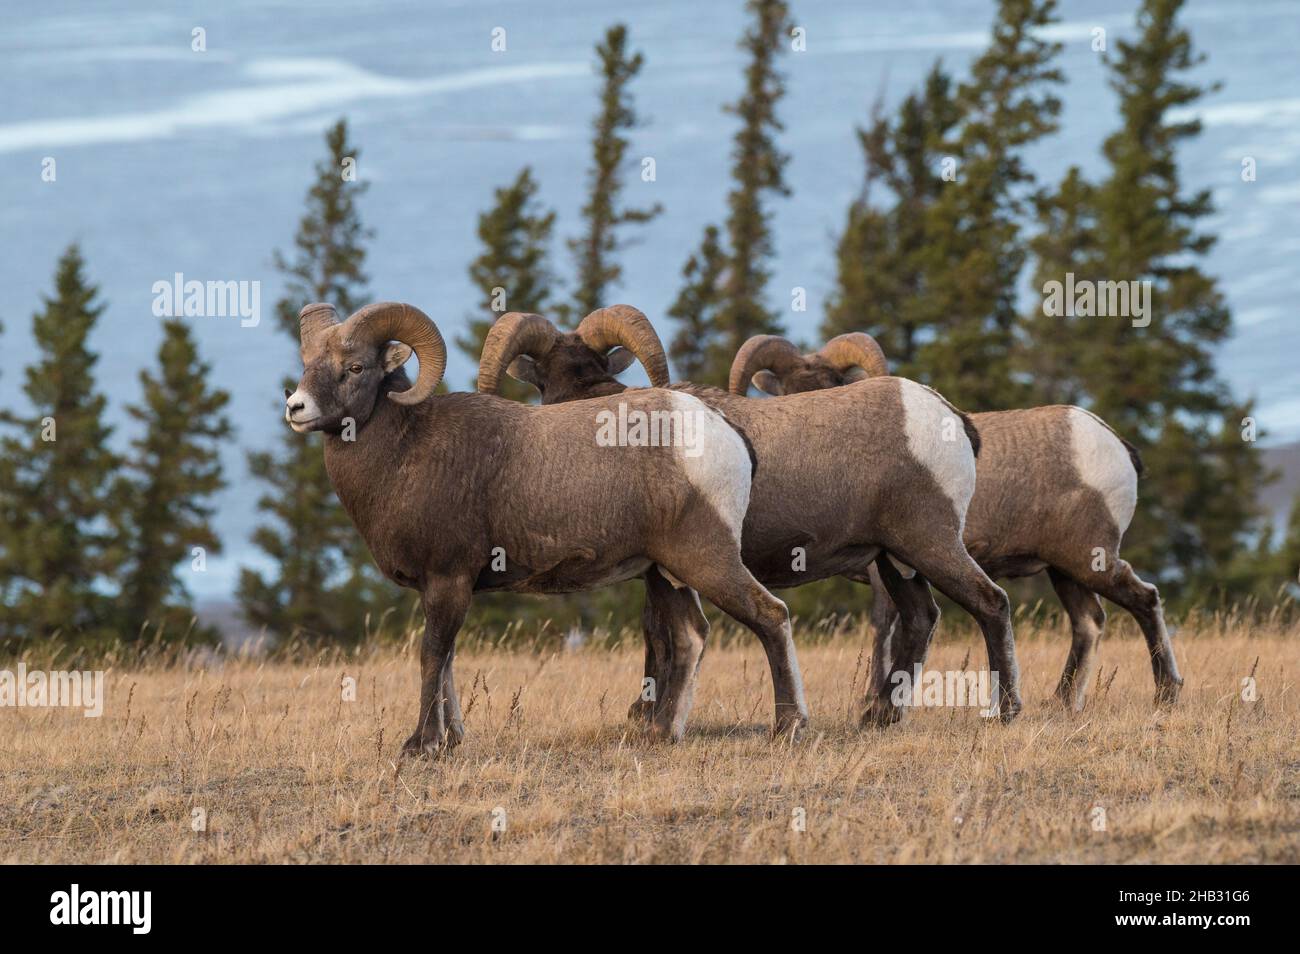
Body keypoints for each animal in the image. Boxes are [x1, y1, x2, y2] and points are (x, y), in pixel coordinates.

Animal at [283, 300, 809, 753]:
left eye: (355, 368)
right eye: (307, 363)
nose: (296, 408)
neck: (404, 453)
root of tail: (724, 431)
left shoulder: (449, 580)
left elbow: (432, 655)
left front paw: (422, 745)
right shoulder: (443, 588)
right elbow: (448, 660)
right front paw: (453, 740)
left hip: (707, 561)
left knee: (770, 616)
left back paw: (788, 727)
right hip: (669, 573)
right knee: (689, 636)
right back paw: (662, 733)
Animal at [476, 305, 1022, 727]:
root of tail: (950, 418)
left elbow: (659, 634)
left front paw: (647, 715)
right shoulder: (663, 569)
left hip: (930, 542)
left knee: (990, 603)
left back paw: (1003, 711)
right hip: (894, 558)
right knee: (920, 618)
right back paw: (879, 717)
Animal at [731, 331, 1184, 710]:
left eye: (829, 386)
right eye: (785, 392)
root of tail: (1115, 443)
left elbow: (885, 625)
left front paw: (872, 700)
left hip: (1089, 558)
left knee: (1144, 600)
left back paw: (1164, 695)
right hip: (1064, 570)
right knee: (1089, 622)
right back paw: (1061, 703)